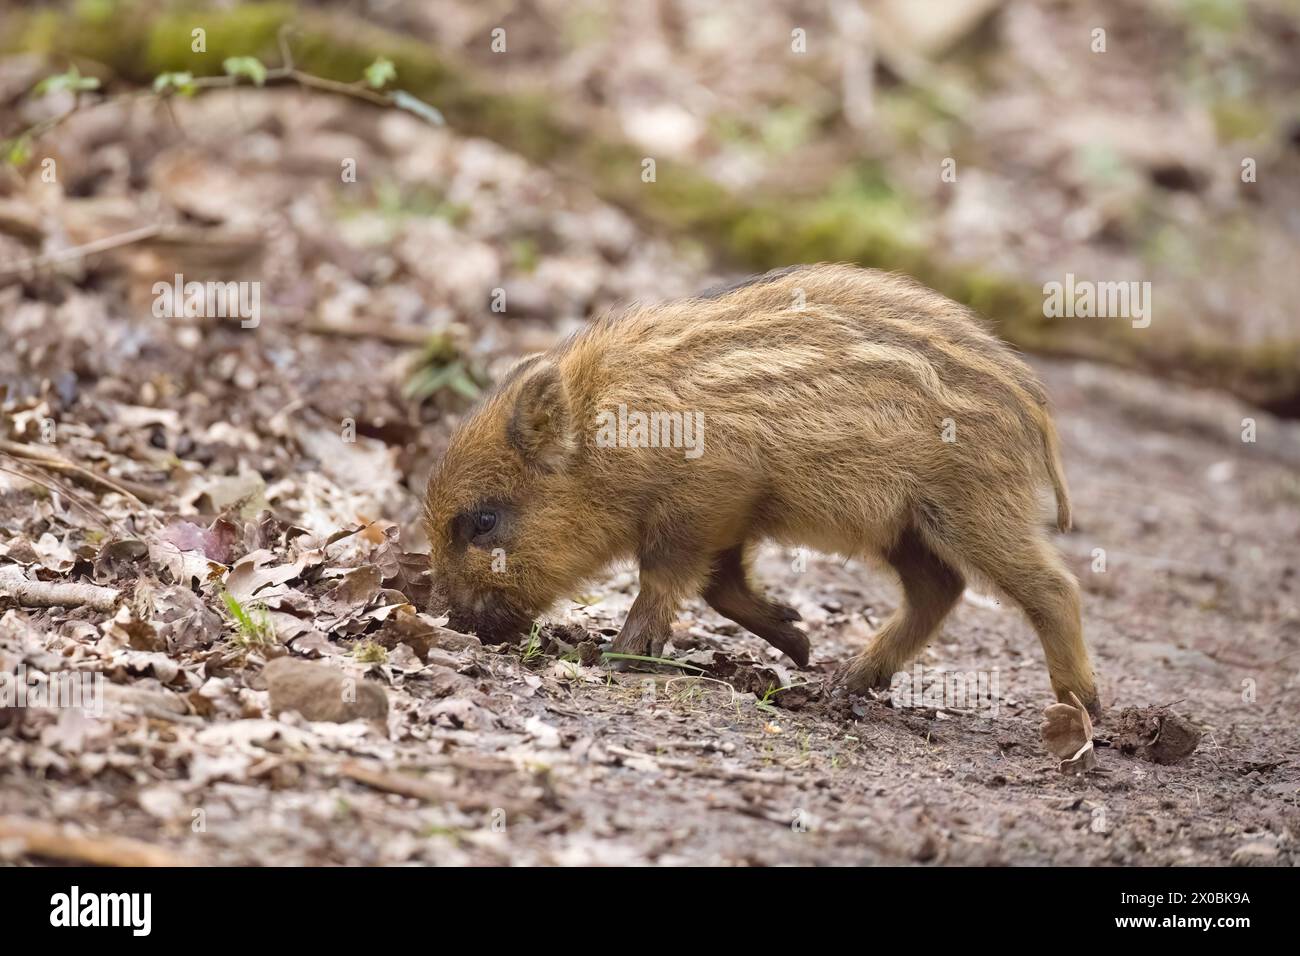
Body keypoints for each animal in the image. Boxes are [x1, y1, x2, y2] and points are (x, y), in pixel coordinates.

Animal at [424, 264, 1099, 714]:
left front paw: (618, 658)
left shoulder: (708, 498)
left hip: (973, 505)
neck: (607, 435)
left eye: (483, 521)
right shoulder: (730, 515)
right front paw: (797, 641)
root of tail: (1033, 404)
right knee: (941, 588)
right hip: (907, 526)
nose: (453, 621)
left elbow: (670, 579)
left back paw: (1081, 708)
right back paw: (841, 684)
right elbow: (720, 586)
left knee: (1053, 588)